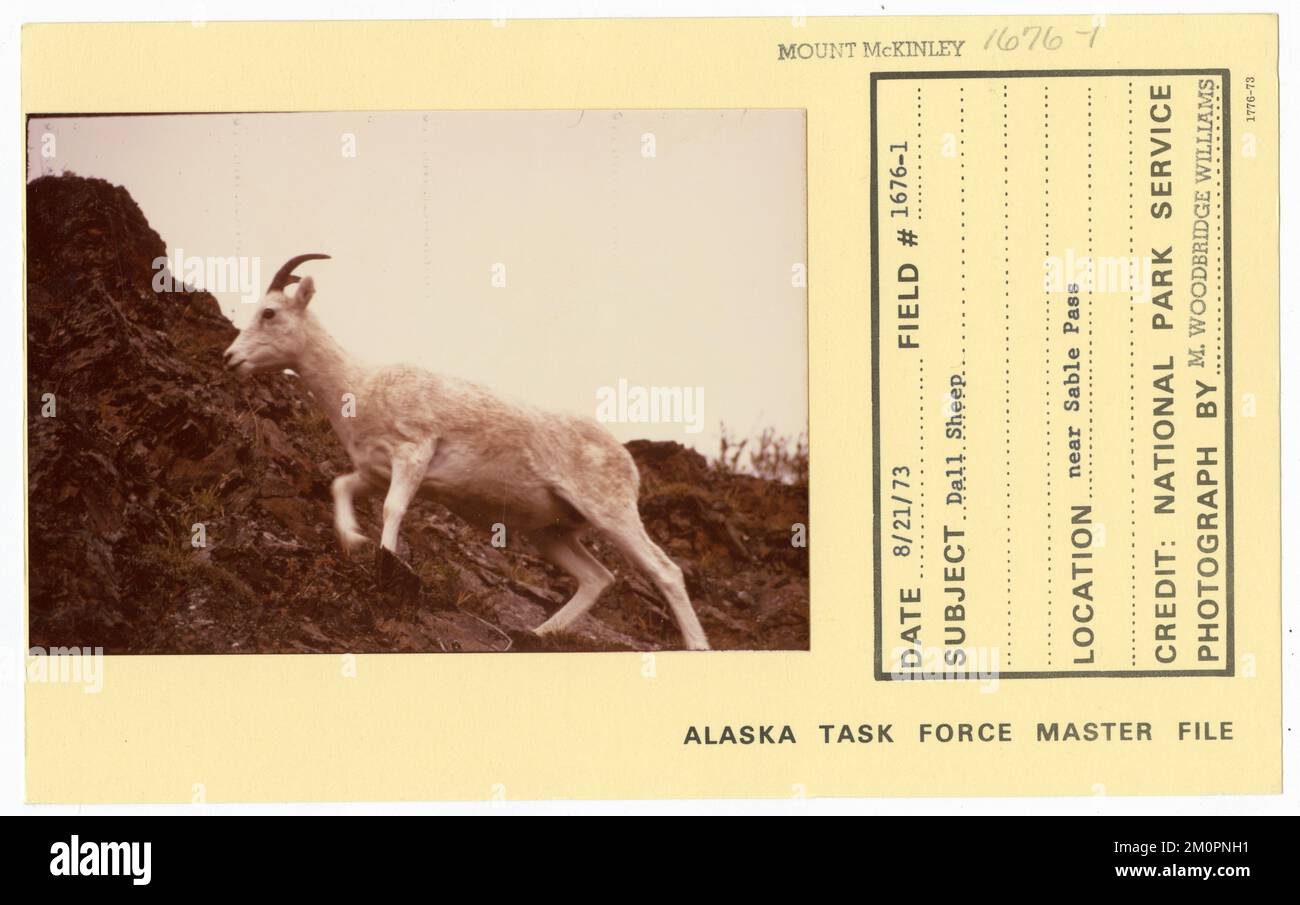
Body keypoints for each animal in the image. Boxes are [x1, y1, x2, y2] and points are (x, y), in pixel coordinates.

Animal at [223, 254, 711, 650]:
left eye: (269, 312)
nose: (230, 359)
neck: (360, 386)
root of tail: (626, 463)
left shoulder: (413, 455)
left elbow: (393, 510)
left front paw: (386, 567)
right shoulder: (373, 471)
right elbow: (340, 487)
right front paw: (352, 540)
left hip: (611, 513)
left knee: (665, 571)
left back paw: (696, 646)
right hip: (551, 532)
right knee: (597, 578)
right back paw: (535, 634)